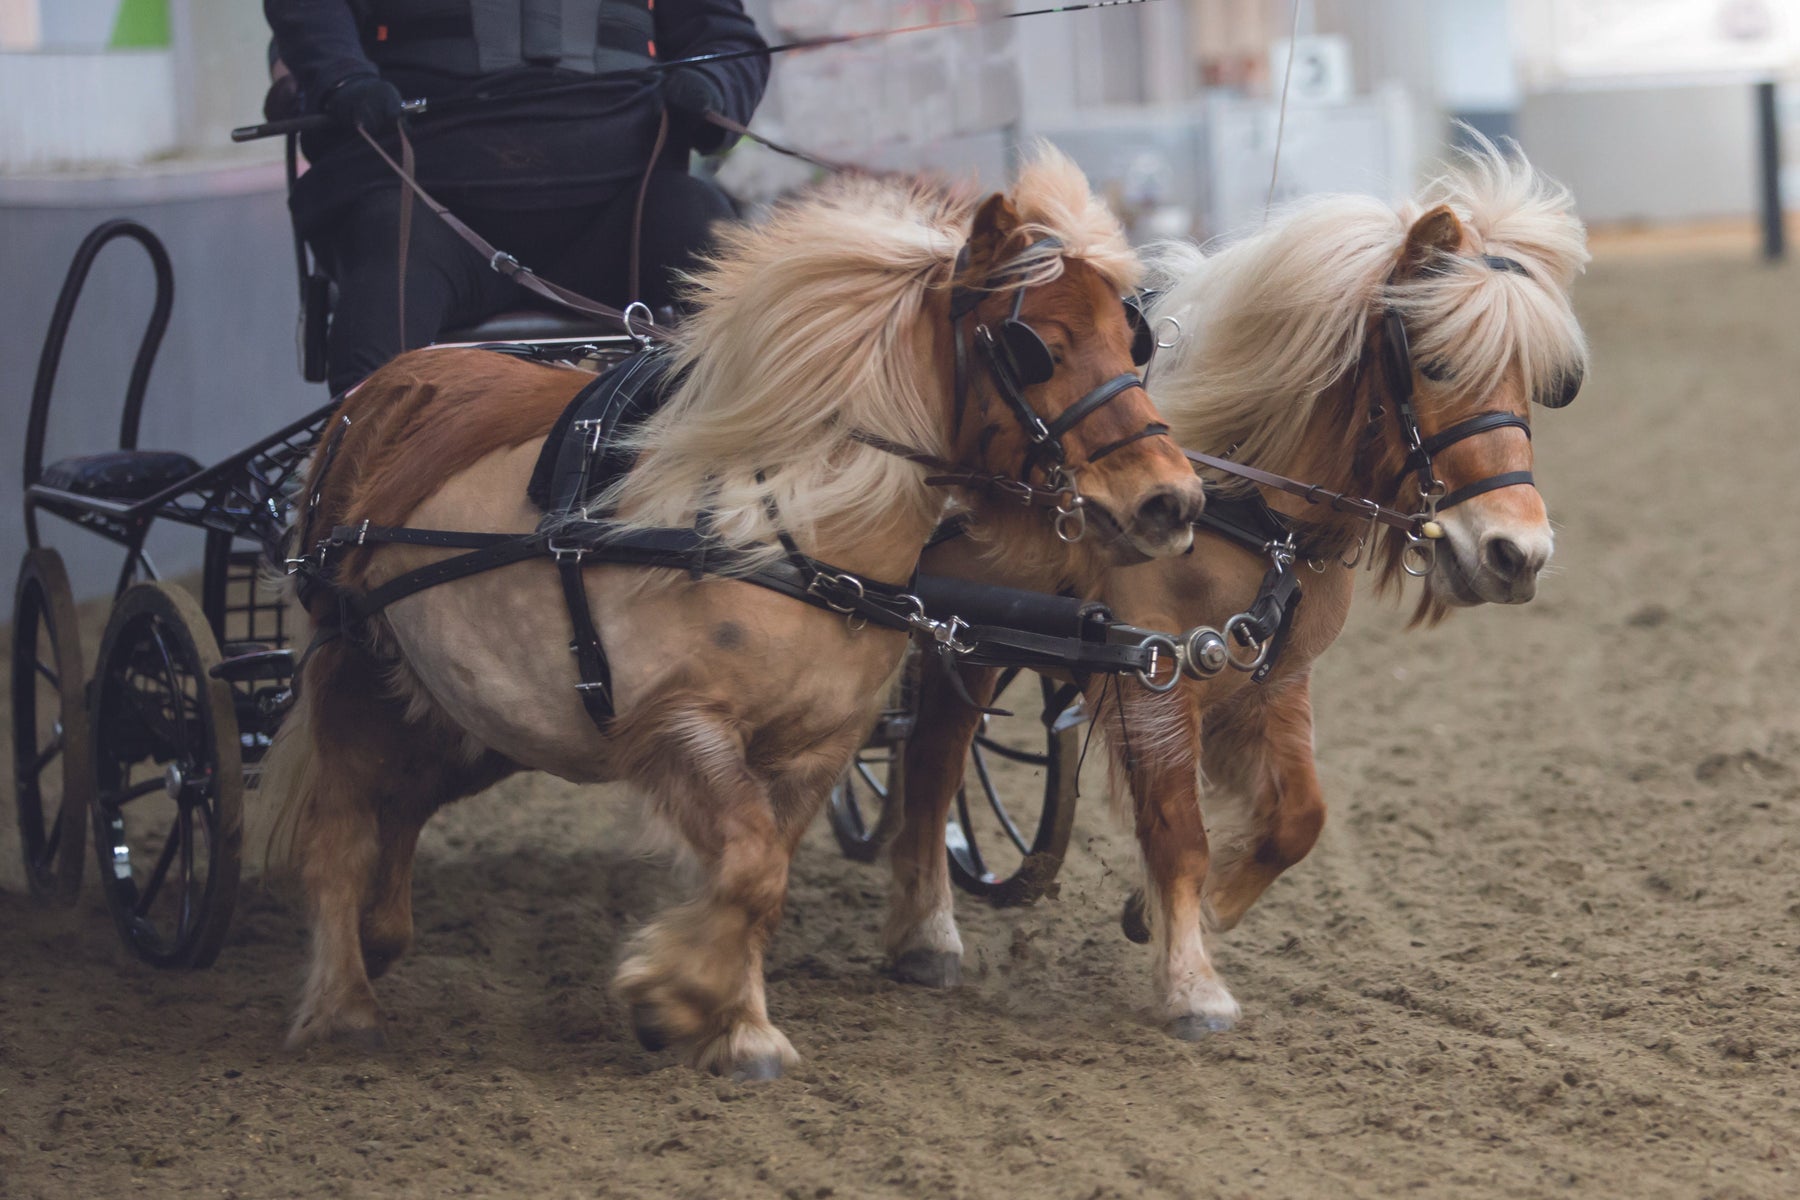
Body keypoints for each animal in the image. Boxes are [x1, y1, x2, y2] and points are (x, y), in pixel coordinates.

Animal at [262, 146, 1209, 1080]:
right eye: (1038, 346)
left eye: (1132, 336)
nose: (1172, 500)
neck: (791, 533)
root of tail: (384, 383)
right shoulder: (678, 722)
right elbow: (749, 866)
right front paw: (686, 1006)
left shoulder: (815, 745)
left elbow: (764, 874)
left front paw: (726, 1022)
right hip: (352, 666)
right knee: (339, 826)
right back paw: (343, 1006)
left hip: (469, 704)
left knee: (407, 798)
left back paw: (383, 936)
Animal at [882, 140, 1591, 1038]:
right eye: (1435, 365)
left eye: (1539, 381)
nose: (1517, 554)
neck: (1245, 501)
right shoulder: (1151, 675)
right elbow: (1178, 832)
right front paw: (1192, 984)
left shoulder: (1275, 676)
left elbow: (1299, 818)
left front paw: (1186, 913)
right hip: (960, 638)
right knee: (934, 761)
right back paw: (927, 935)